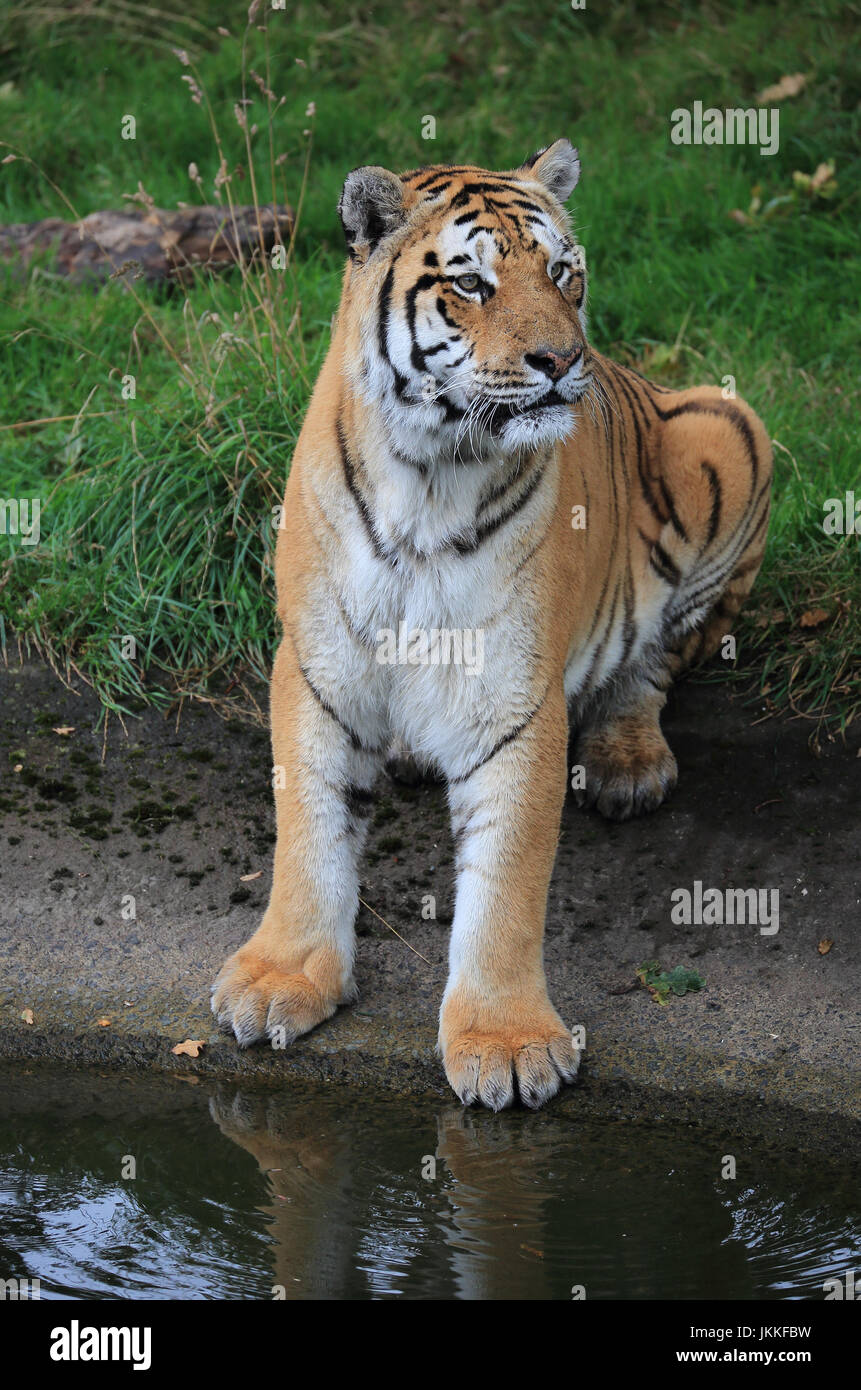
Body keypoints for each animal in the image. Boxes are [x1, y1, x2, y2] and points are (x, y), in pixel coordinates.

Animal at [212, 139, 772, 1111]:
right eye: (472, 284)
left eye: (561, 272)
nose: (559, 358)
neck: (426, 474)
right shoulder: (317, 668)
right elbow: (309, 833)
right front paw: (280, 979)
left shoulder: (512, 695)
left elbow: (505, 883)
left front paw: (504, 1042)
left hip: (727, 428)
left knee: (654, 660)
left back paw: (627, 762)